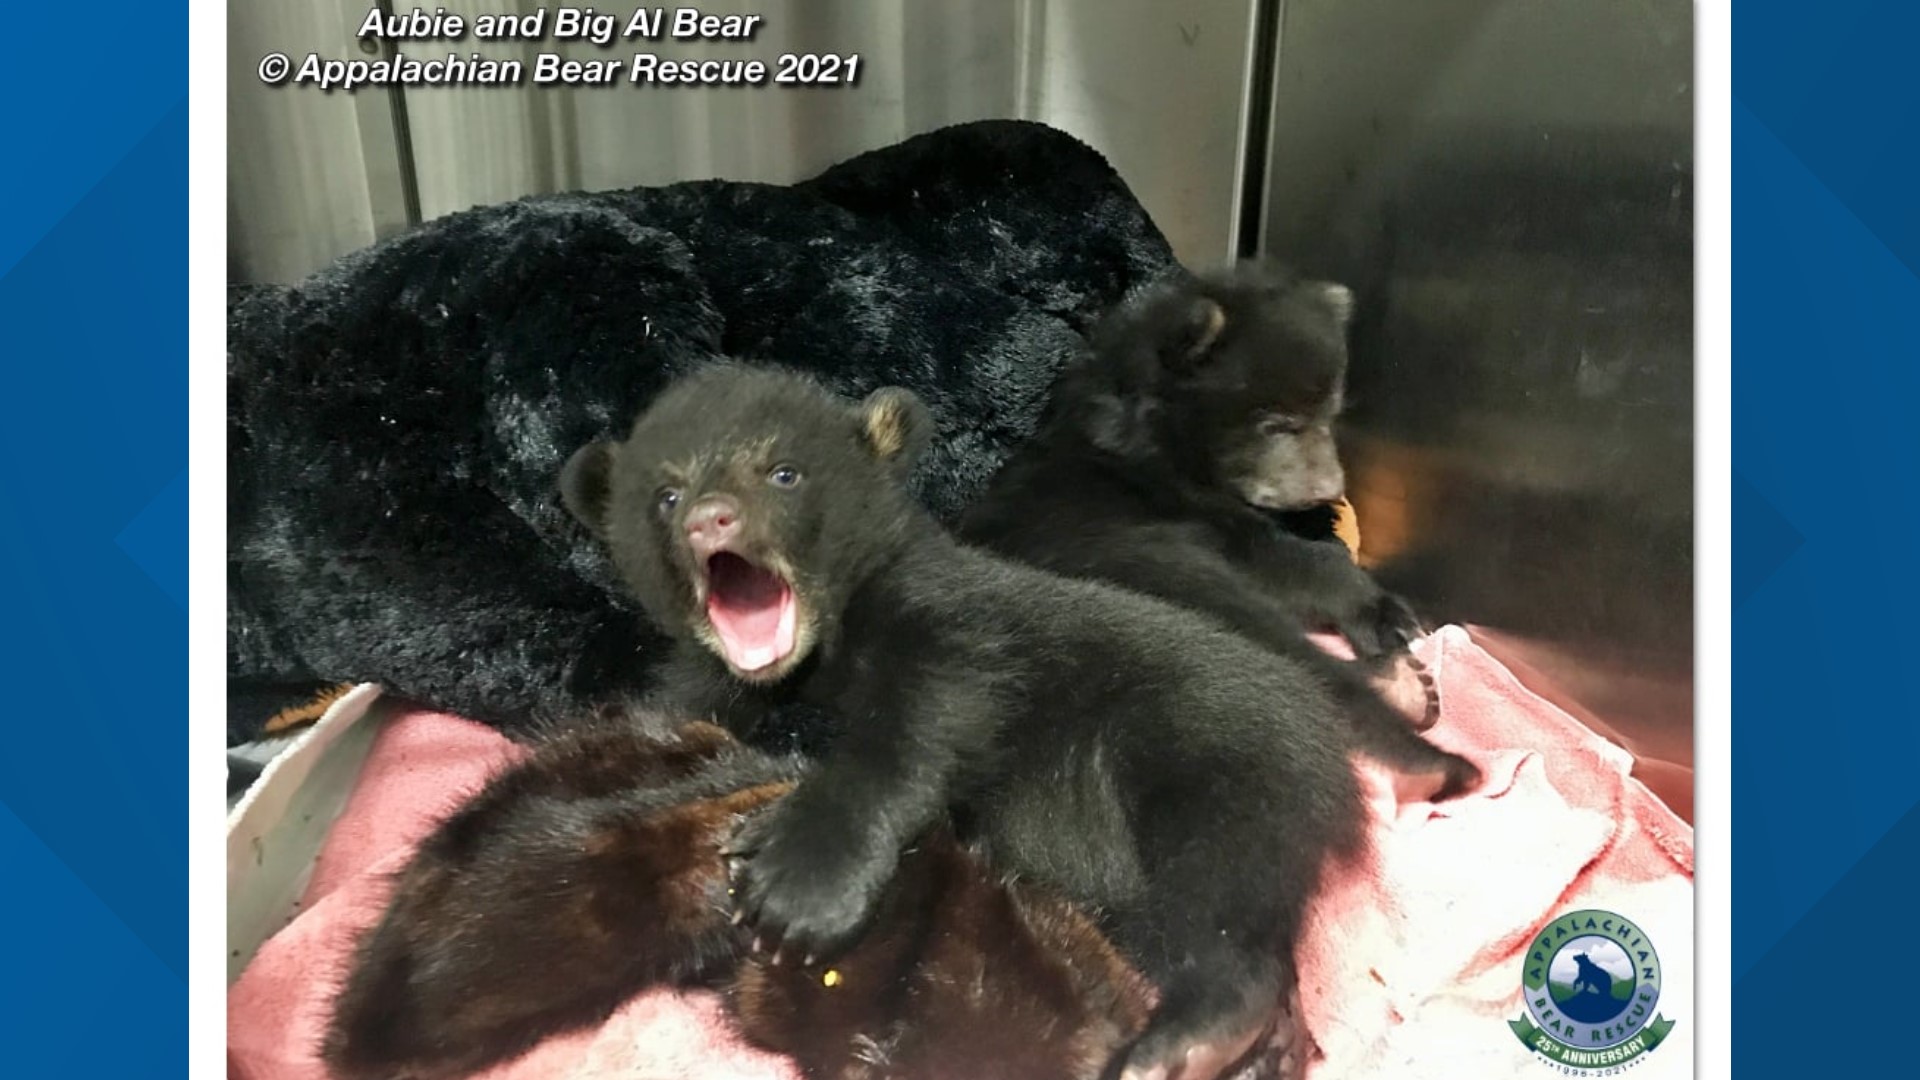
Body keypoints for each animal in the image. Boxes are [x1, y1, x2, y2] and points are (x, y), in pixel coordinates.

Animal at [558, 363, 1482, 1079]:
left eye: (784, 472)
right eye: (663, 493)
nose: (708, 518)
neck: (814, 661)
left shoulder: (951, 619)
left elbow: (924, 717)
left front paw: (799, 882)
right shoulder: (715, 684)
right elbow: (692, 712)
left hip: (1206, 757)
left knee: (1217, 891)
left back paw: (1188, 1036)